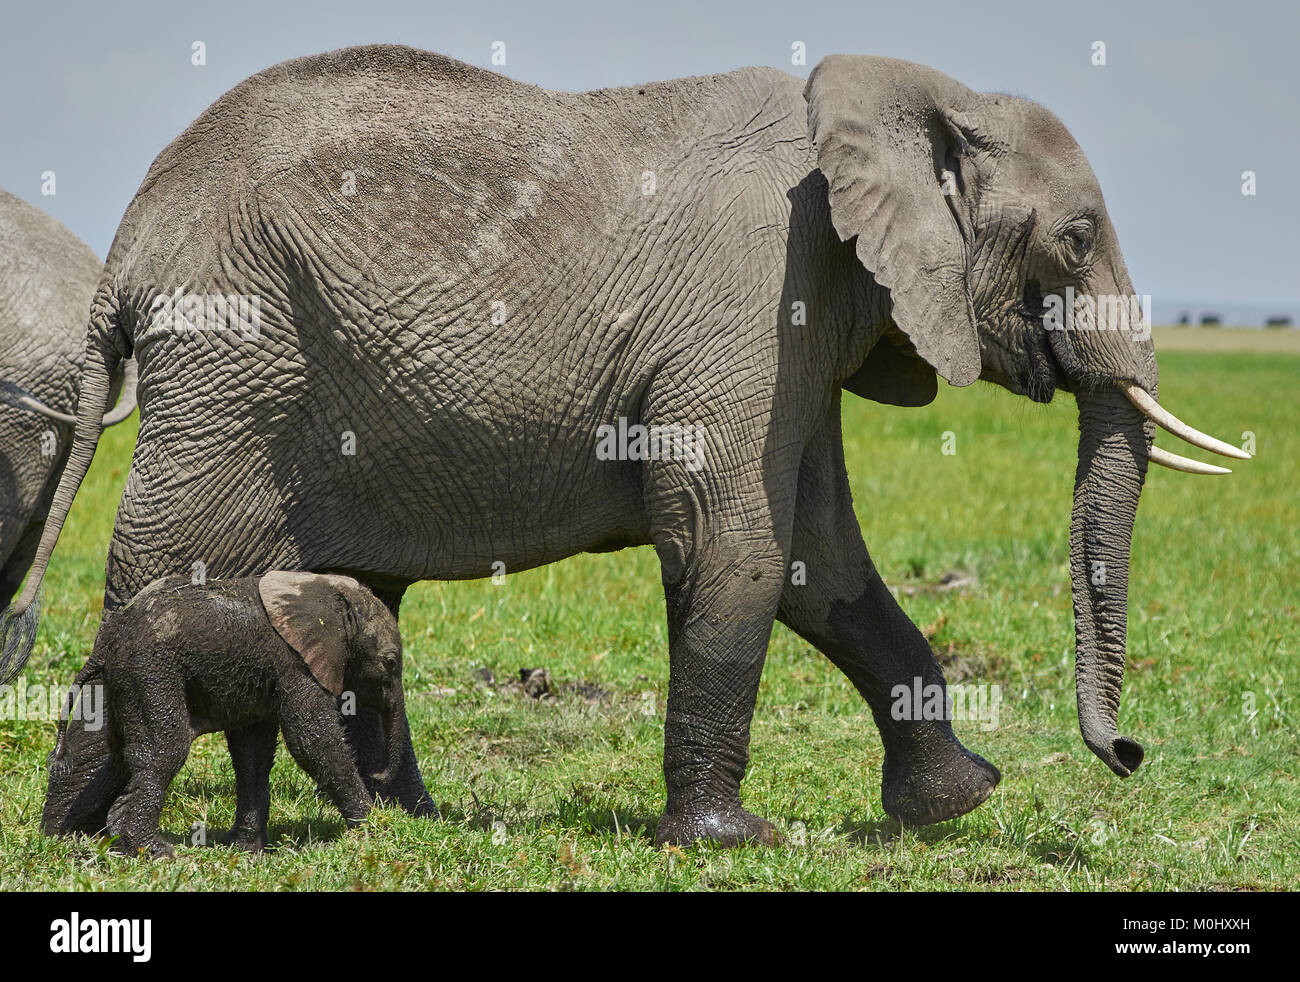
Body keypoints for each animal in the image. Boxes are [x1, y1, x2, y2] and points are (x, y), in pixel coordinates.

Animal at [50, 571, 412, 857]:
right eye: (390, 663)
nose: (379, 775)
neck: (326, 590)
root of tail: (105, 646)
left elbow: (252, 753)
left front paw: (246, 850)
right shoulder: (296, 663)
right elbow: (312, 741)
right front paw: (373, 826)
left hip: (125, 683)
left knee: (122, 754)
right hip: (149, 672)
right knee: (164, 750)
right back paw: (155, 852)